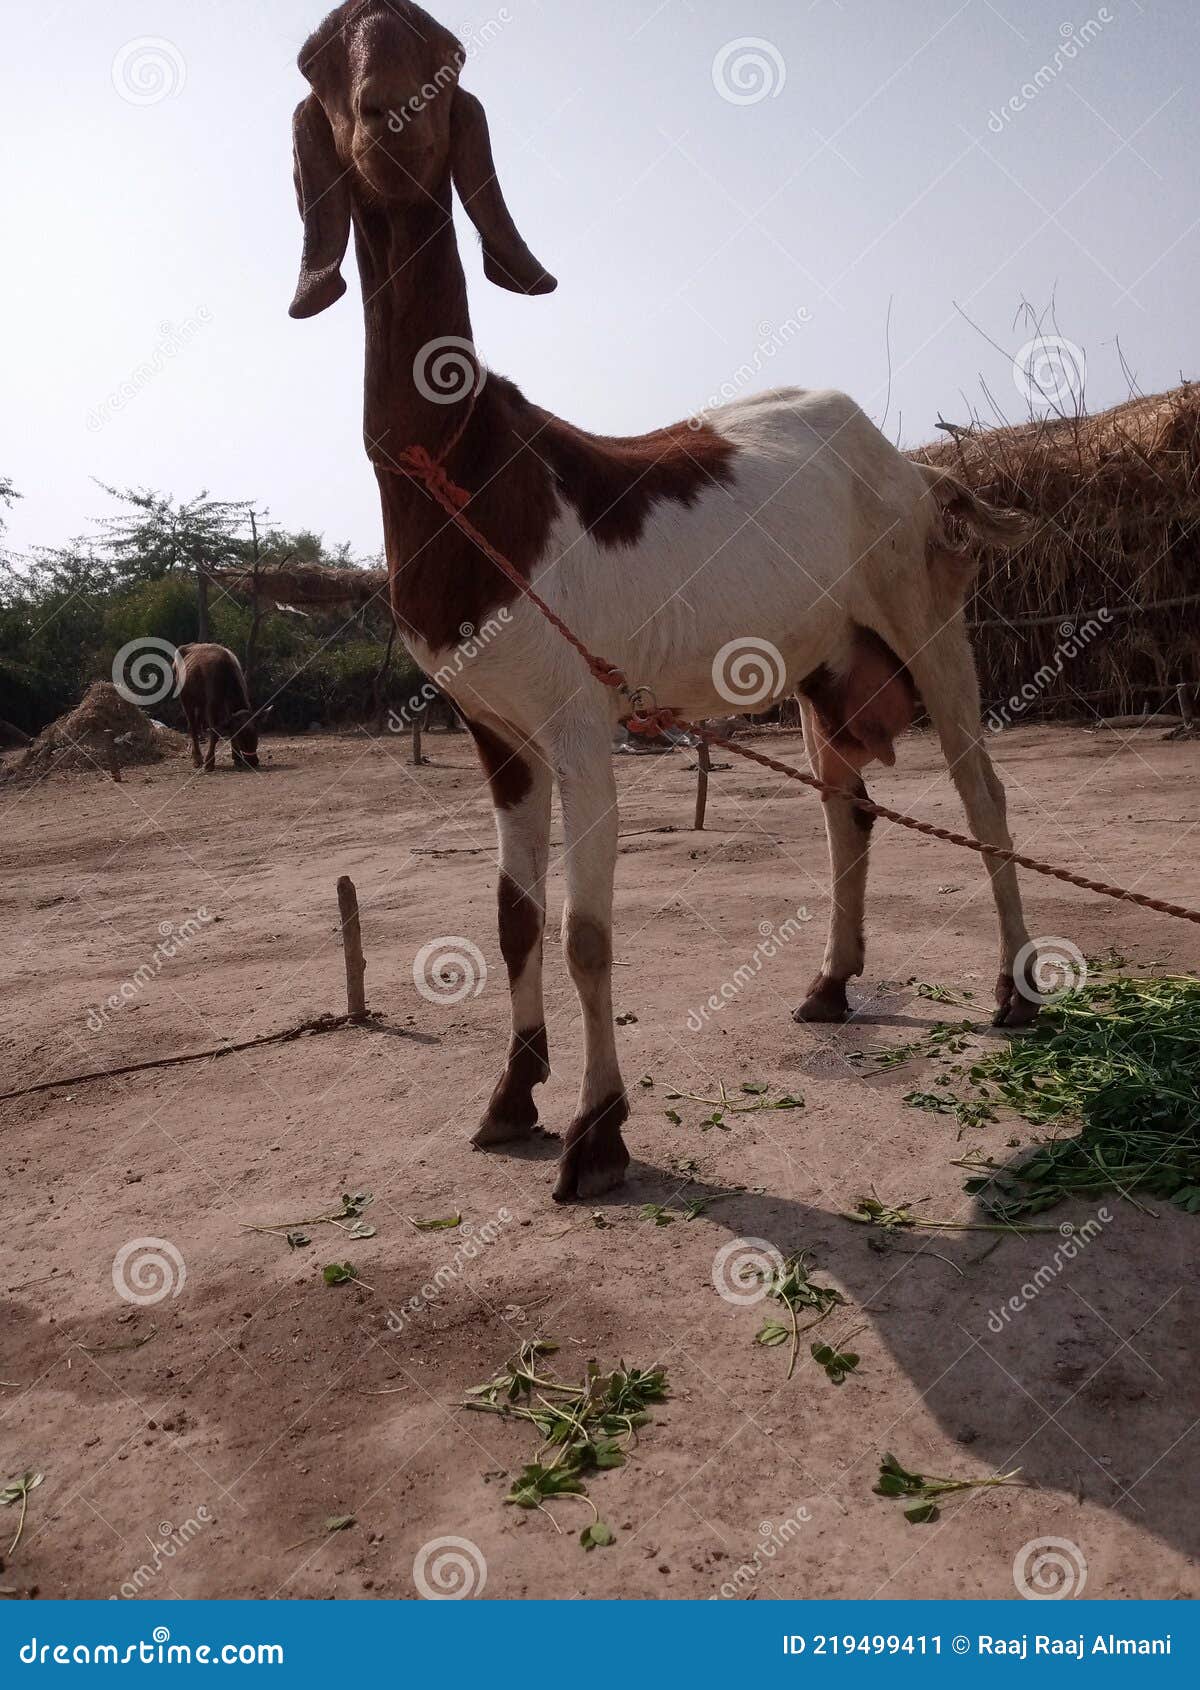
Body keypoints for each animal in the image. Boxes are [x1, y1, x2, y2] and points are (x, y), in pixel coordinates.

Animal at [287, 0, 1038, 1201]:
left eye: (443, 58)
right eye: (323, 60)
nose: (388, 120)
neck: (471, 471)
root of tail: (919, 470)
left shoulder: (578, 719)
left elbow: (587, 930)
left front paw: (598, 1131)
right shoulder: (493, 729)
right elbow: (513, 918)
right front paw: (511, 1095)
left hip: (925, 610)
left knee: (982, 791)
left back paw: (1016, 990)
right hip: (824, 661)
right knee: (849, 805)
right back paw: (830, 982)